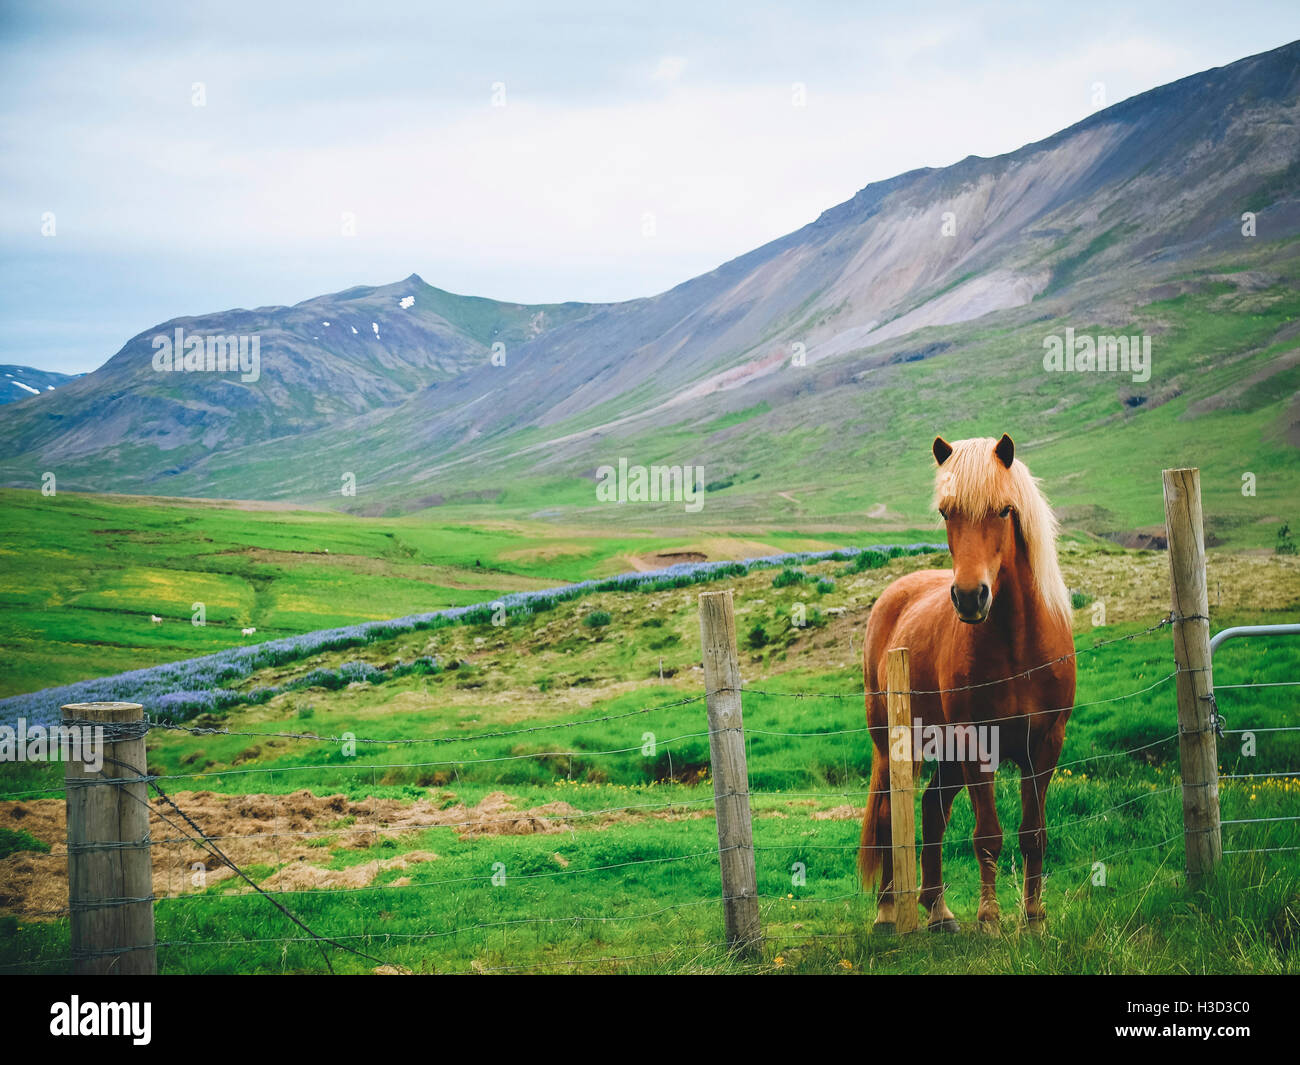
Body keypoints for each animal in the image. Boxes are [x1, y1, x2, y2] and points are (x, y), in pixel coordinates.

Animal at [859, 433, 1076, 932]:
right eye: (945, 512)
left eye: (1004, 510)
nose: (970, 596)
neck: (1018, 646)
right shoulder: (978, 741)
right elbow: (988, 836)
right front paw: (990, 918)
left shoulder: (1046, 744)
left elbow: (1034, 833)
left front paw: (1034, 916)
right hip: (895, 745)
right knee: (890, 814)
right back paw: (886, 909)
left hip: (947, 753)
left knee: (931, 811)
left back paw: (939, 910)